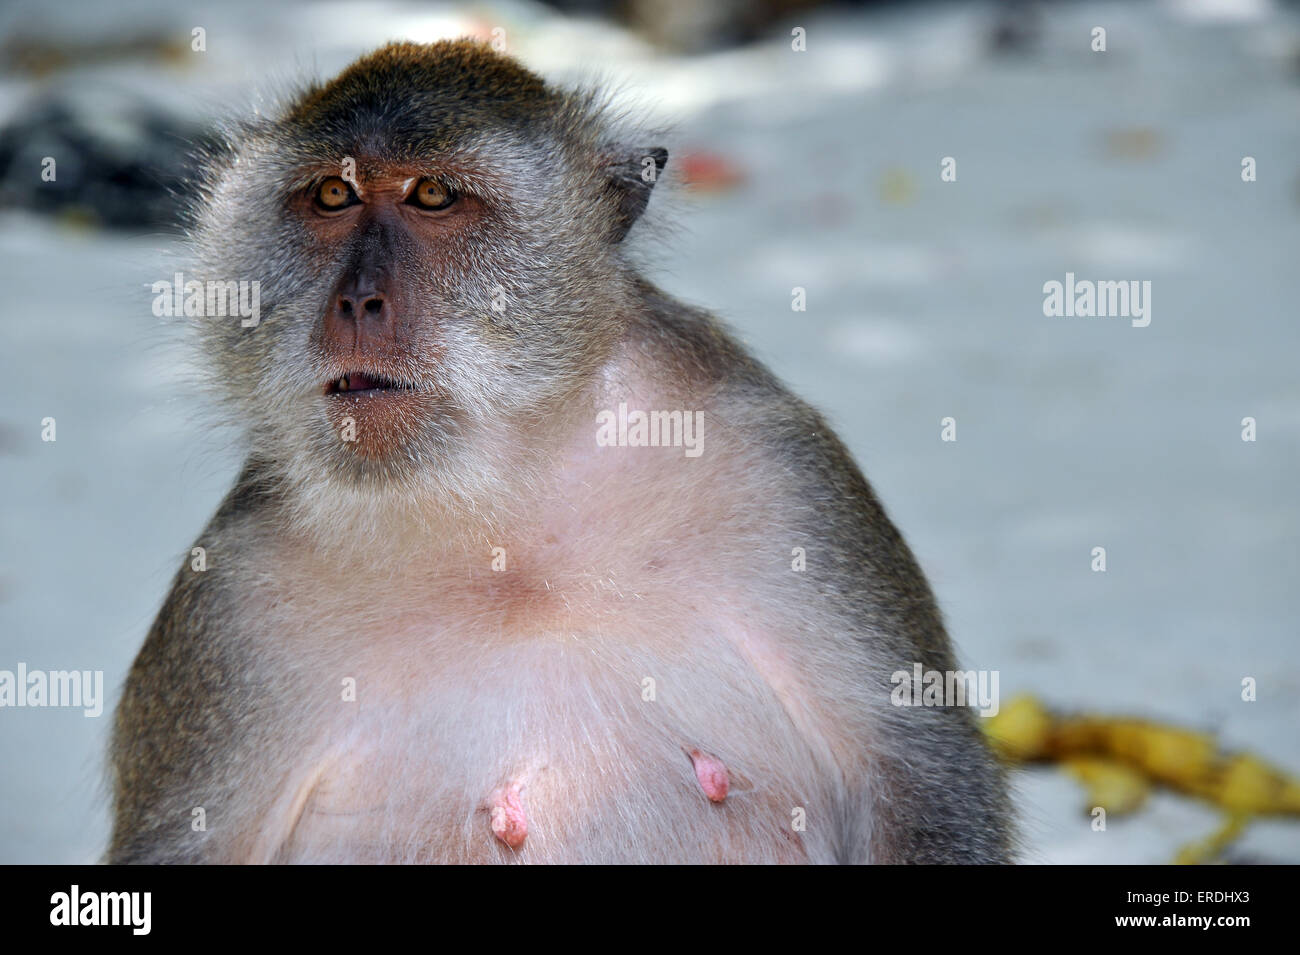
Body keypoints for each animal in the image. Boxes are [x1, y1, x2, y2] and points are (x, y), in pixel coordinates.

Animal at [109, 39, 1013, 864]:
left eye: (433, 194)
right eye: (333, 194)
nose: (357, 301)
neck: (505, 517)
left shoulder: (784, 475)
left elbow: (920, 777)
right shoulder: (229, 604)